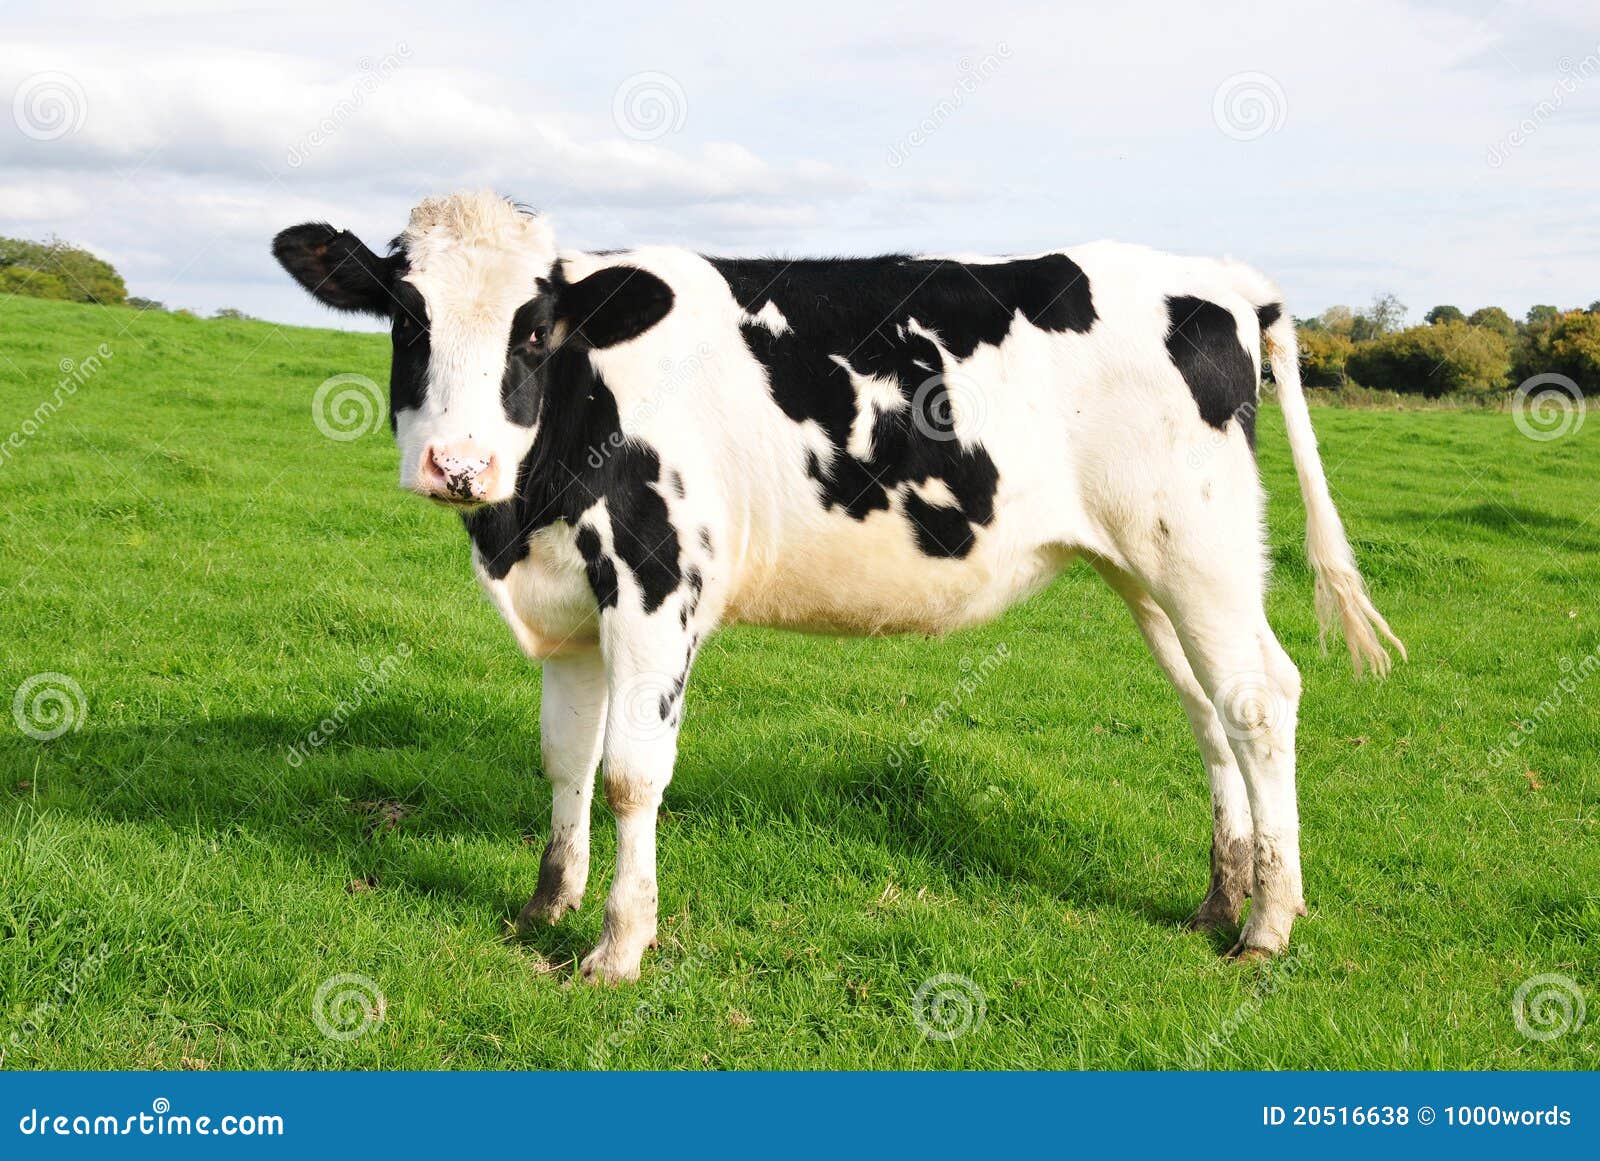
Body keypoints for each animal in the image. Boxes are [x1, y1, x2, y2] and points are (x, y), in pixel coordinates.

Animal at [273, 191, 1404, 983]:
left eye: (535, 329)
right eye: (404, 318)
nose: (458, 465)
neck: (529, 506)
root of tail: (1218, 279)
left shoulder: (657, 582)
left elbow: (633, 772)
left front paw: (616, 948)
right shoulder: (571, 605)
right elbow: (565, 761)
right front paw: (547, 906)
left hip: (1199, 549)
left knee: (1259, 699)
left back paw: (1267, 924)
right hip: (1145, 567)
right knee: (1209, 710)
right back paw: (1222, 897)